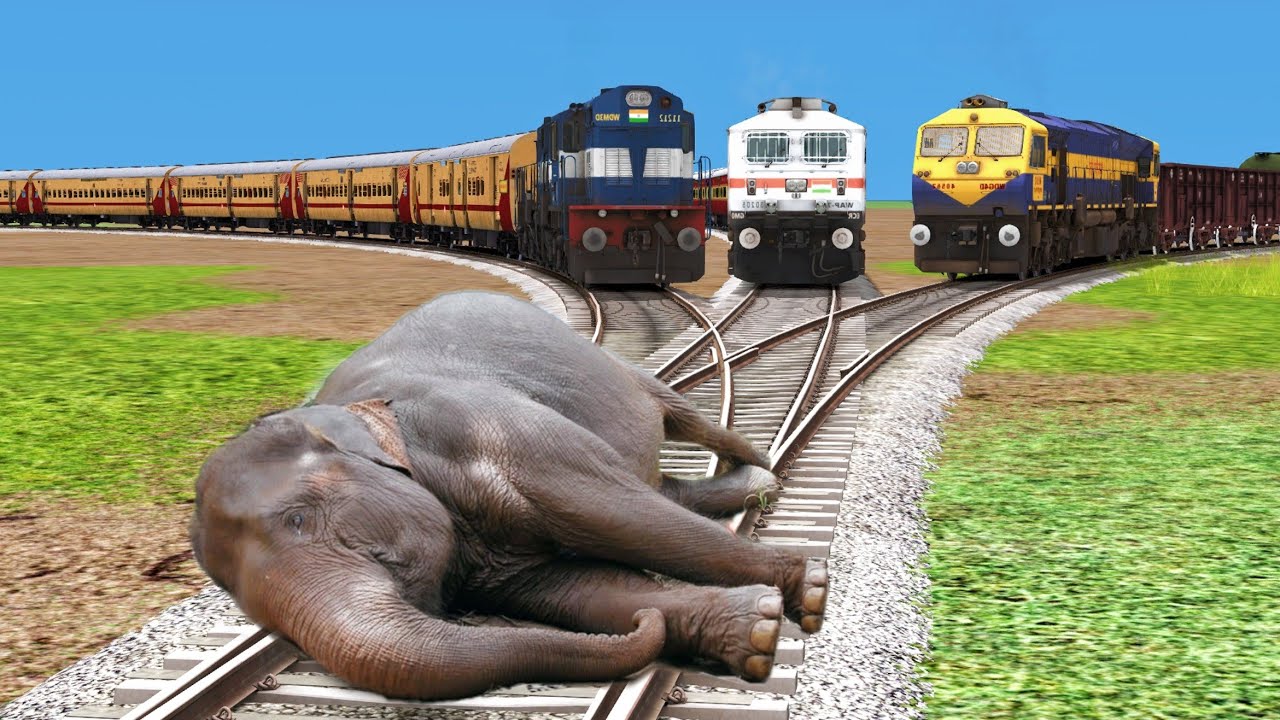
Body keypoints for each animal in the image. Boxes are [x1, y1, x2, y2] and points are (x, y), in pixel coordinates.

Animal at [190, 291, 828, 701]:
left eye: (299, 519)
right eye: (252, 615)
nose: (644, 626)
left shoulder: (492, 428)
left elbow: (621, 515)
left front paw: (808, 593)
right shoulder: (495, 564)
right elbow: (581, 590)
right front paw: (756, 631)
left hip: (614, 369)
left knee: (681, 427)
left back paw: (764, 473)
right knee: (662, 487)